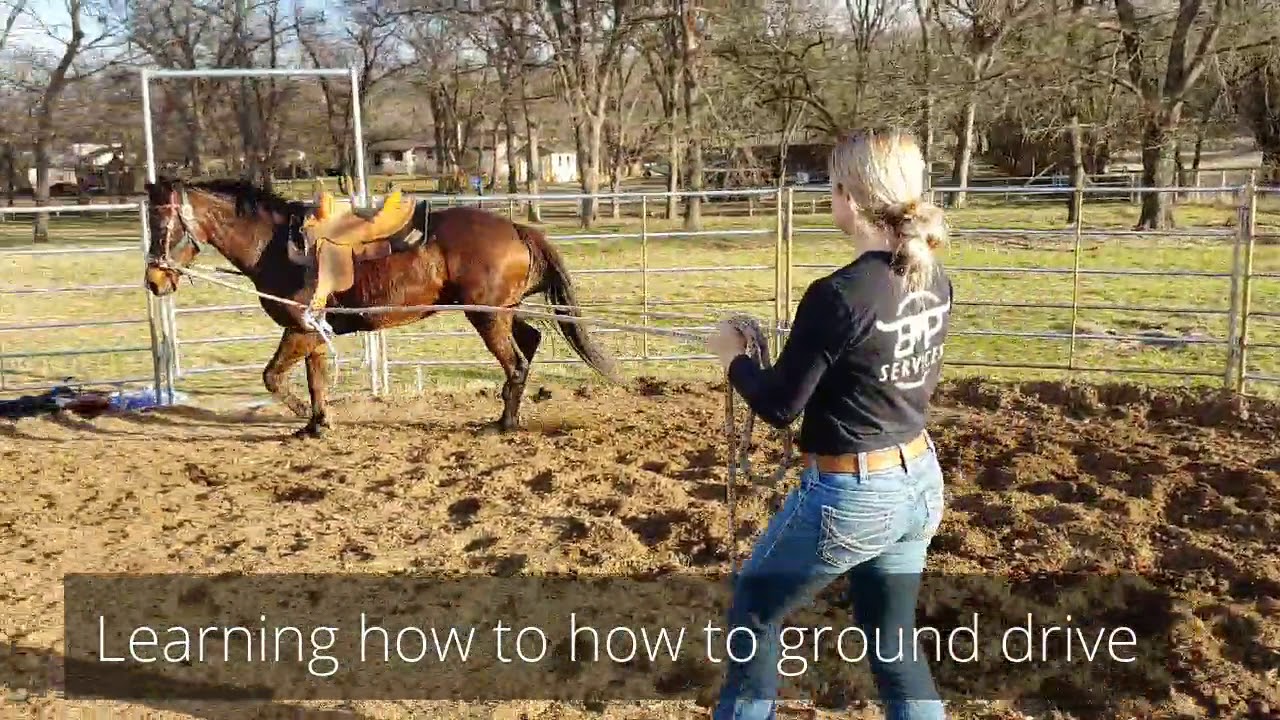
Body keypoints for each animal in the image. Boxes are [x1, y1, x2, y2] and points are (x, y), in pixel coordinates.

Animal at [141, 177, 619, 437]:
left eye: (164, 225)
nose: (154, 280)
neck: (279, 247)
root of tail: (517, 229)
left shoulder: (298, 330)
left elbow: (273, 378)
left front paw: (311, 419)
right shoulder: (312, 334)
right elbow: (315, 381)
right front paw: (315, 424)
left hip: (486, 316)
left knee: (516, 361)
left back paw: (503, 423)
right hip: (502, 311)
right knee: (529, 344)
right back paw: (511, 415)